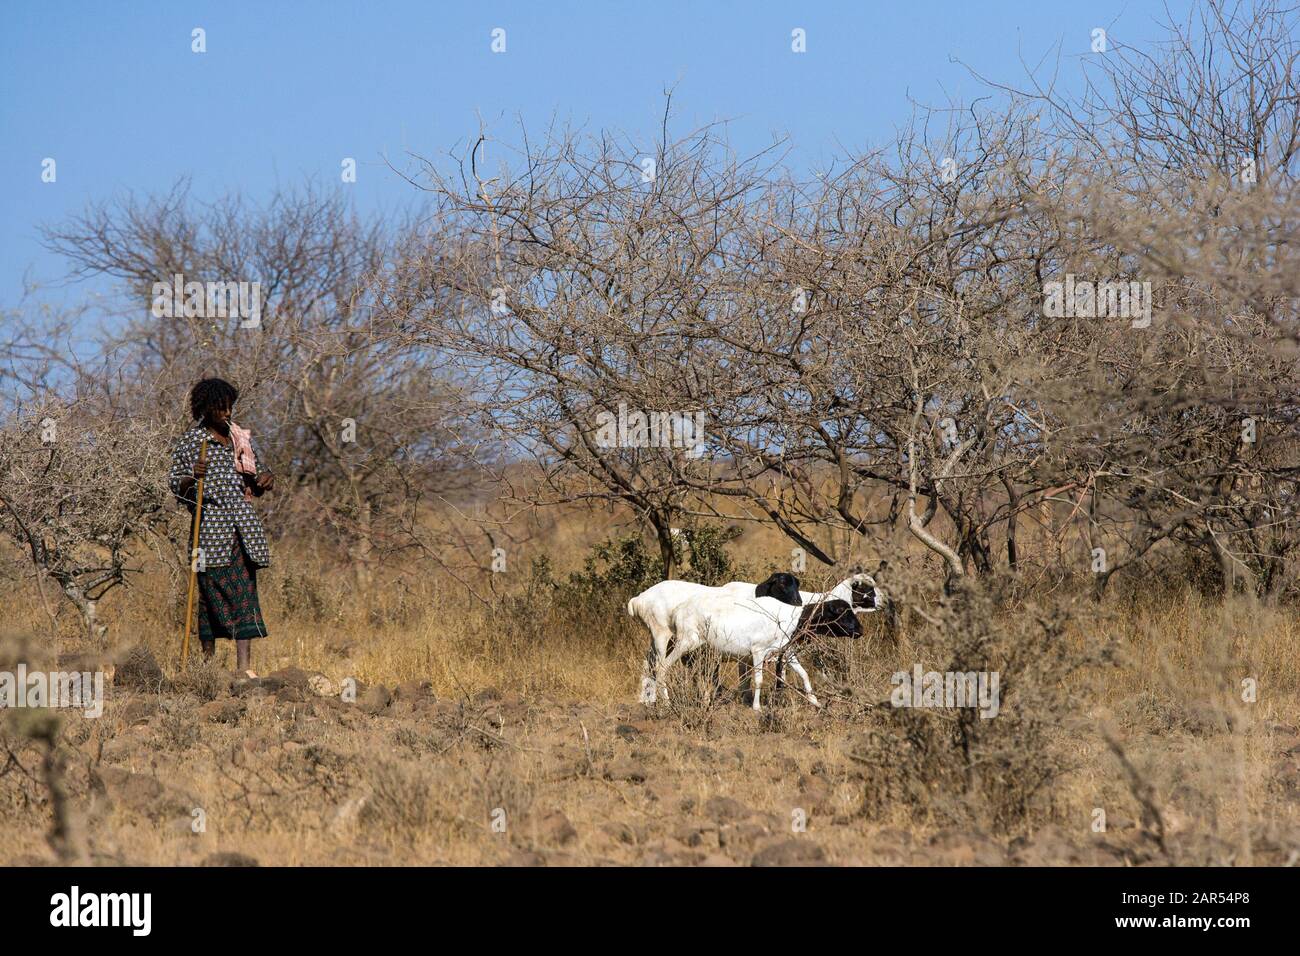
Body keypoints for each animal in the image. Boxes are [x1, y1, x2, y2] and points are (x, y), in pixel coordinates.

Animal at [662, 595, 861, 710]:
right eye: (842, 612)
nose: (861, 631)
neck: (793, 618)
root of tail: (676, 611)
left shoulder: (786, 651)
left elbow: (804, 674)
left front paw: (815, 702)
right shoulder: (758, 651)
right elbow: (758, 680)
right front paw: (757, 707)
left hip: (700, 652)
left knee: (701, 674)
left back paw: (704, 702)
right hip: (685, 643)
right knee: (662, 667)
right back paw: (665, 702)